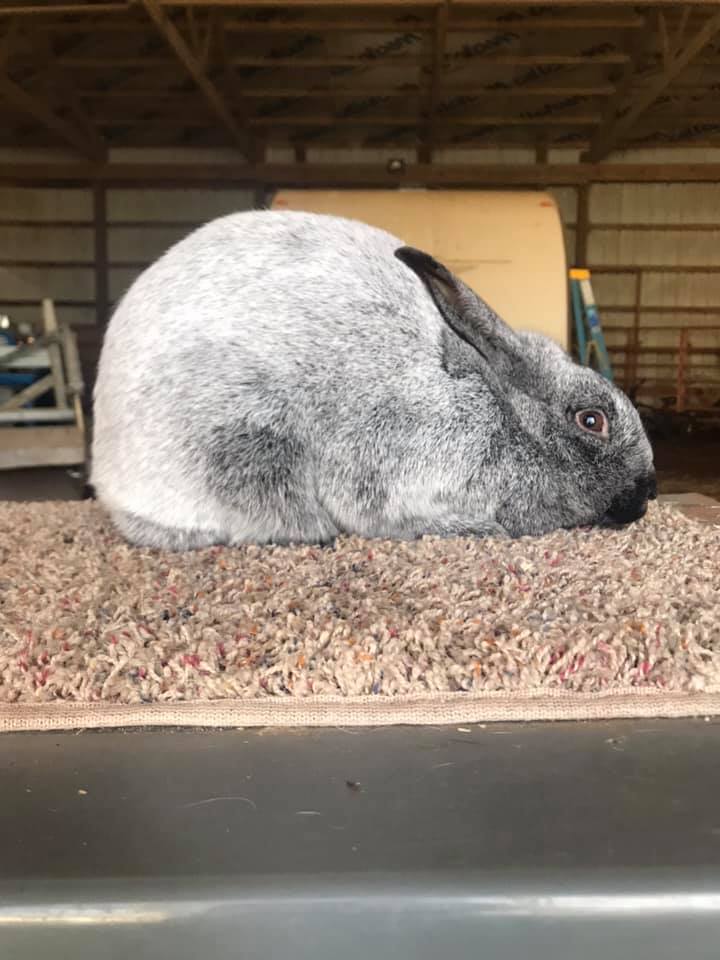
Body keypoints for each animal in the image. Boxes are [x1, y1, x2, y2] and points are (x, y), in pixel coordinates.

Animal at [91, 209, 656, 551]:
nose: (648, 491)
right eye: (592, 420)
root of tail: (106, 470)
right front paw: (477, 529)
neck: (495, 400)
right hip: (242, 452)